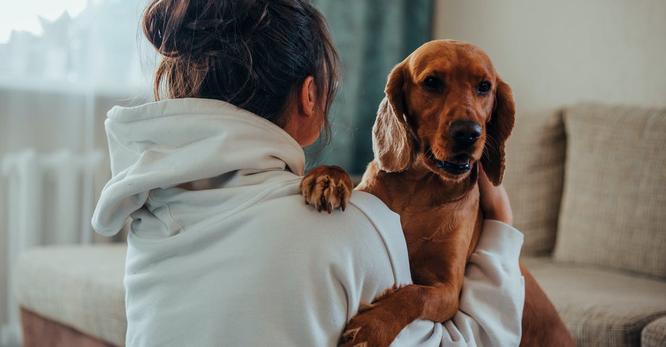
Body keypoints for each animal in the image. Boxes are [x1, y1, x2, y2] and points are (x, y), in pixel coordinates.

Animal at [300, 39, 572, 346]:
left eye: (484, 86)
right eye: (432, 82)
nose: (468, 133)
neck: (419, 188)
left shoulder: (449, 289)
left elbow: (416, 293)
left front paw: (373, 327)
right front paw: (328, 177)